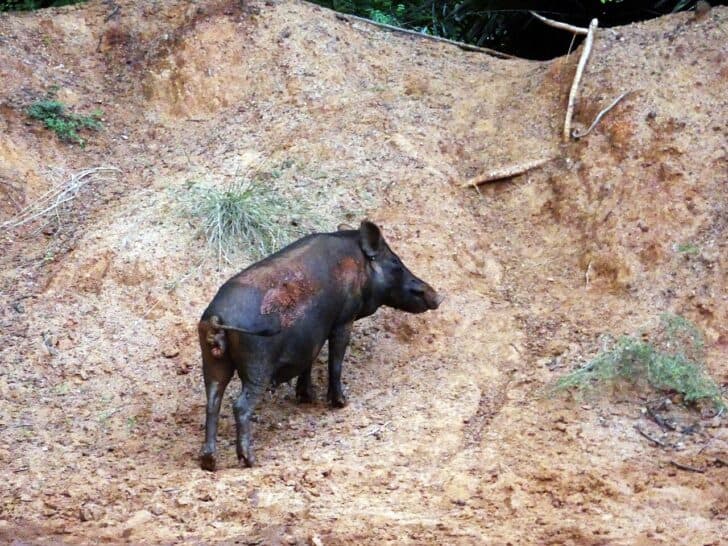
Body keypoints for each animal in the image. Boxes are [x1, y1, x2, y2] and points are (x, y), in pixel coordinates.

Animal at [198, 220, 442, 470]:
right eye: (395, 263)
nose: (437, 296)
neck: (359, 267)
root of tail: (216, 318)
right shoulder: (344, 319)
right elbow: (335, 360)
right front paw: (341, 402)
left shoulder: (311, 338)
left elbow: (310, 360)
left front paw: (307, 397)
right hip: (258, 364)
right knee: (240, 406)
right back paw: (250, 460)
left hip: (213, 361)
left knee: (212, 402)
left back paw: (209, 461)